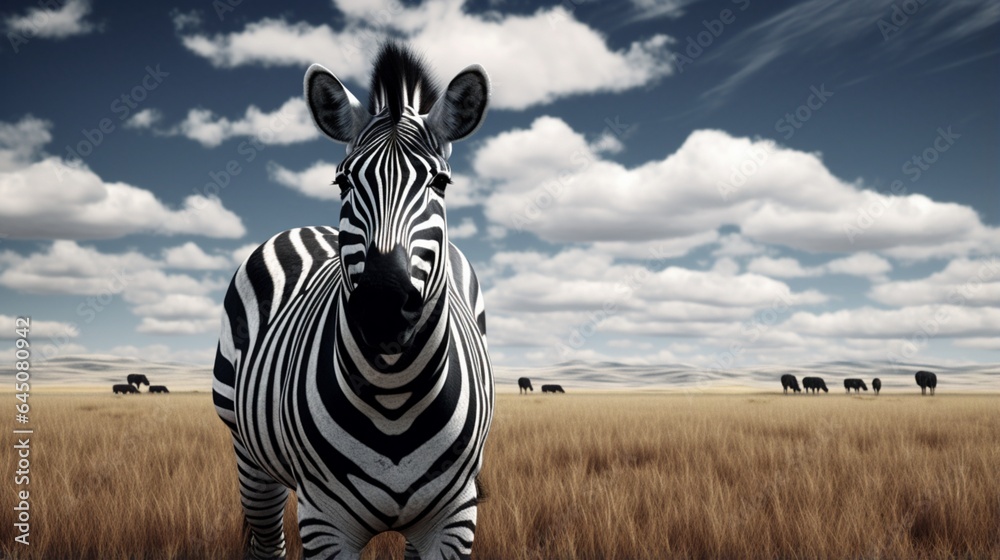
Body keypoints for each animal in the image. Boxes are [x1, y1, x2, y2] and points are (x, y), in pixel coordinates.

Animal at [212, 42, 494, 560]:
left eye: (440, 184)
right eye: (343, 183)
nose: (382, 307)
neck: (394, 395)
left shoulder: (455, 517)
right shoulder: (324, 520)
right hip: (249, 455)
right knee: (267, 543)